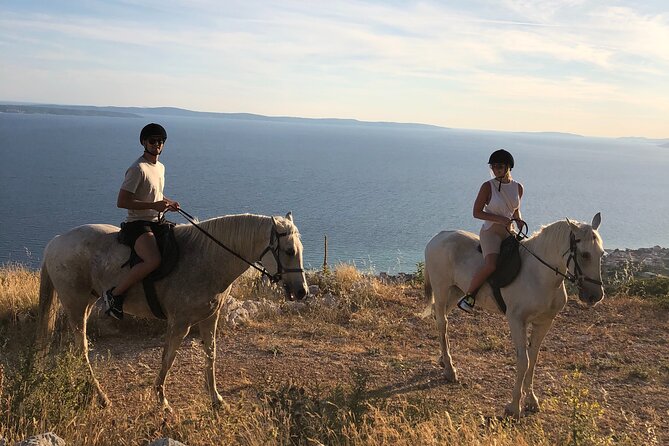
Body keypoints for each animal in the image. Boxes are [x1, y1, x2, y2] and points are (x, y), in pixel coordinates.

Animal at [37, 212, 308, 411]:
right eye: (289, 251)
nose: (302, 291)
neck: (208, 259)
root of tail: (56, 241)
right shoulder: (180, 323)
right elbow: (168, 358)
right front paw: (162, 399)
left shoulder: (210, 318)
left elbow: (211, 355)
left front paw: (216, 399)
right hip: (75, 304)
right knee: (82, 348)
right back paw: (101, 396)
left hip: (87, 302)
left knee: (76, 347)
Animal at [423, 213, 604, 419]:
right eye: (585, 254)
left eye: (601, 253)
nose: (595, 296)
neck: (539, 276)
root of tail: (439, 236)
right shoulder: (517, 320)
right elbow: (523, 361)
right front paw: (514, 406)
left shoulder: (544, 322)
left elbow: (533, 359)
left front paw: (531, 400)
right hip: (442, 289)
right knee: (442, 322)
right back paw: (450, 369)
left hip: (456, 291)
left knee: (440, 318)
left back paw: (443, 359)